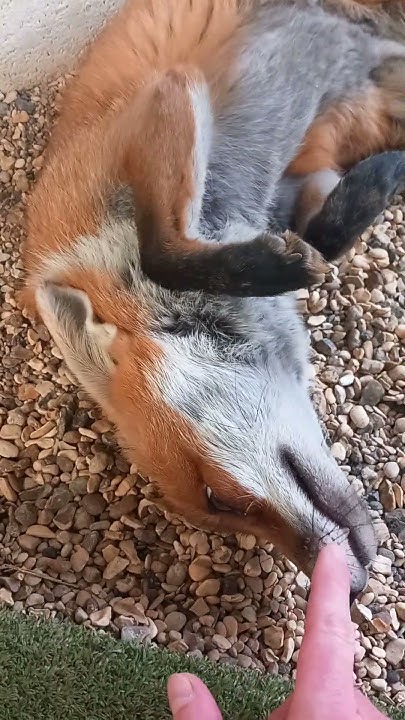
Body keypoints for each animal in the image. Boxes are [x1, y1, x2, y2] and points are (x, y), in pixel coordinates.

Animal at [23, 0, 405, 597]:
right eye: (220, 513)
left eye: (219, 498)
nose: (349, 591)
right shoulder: (312, 180)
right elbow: (327, 232)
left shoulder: (169, 93)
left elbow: (161, 248)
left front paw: (283, 262)